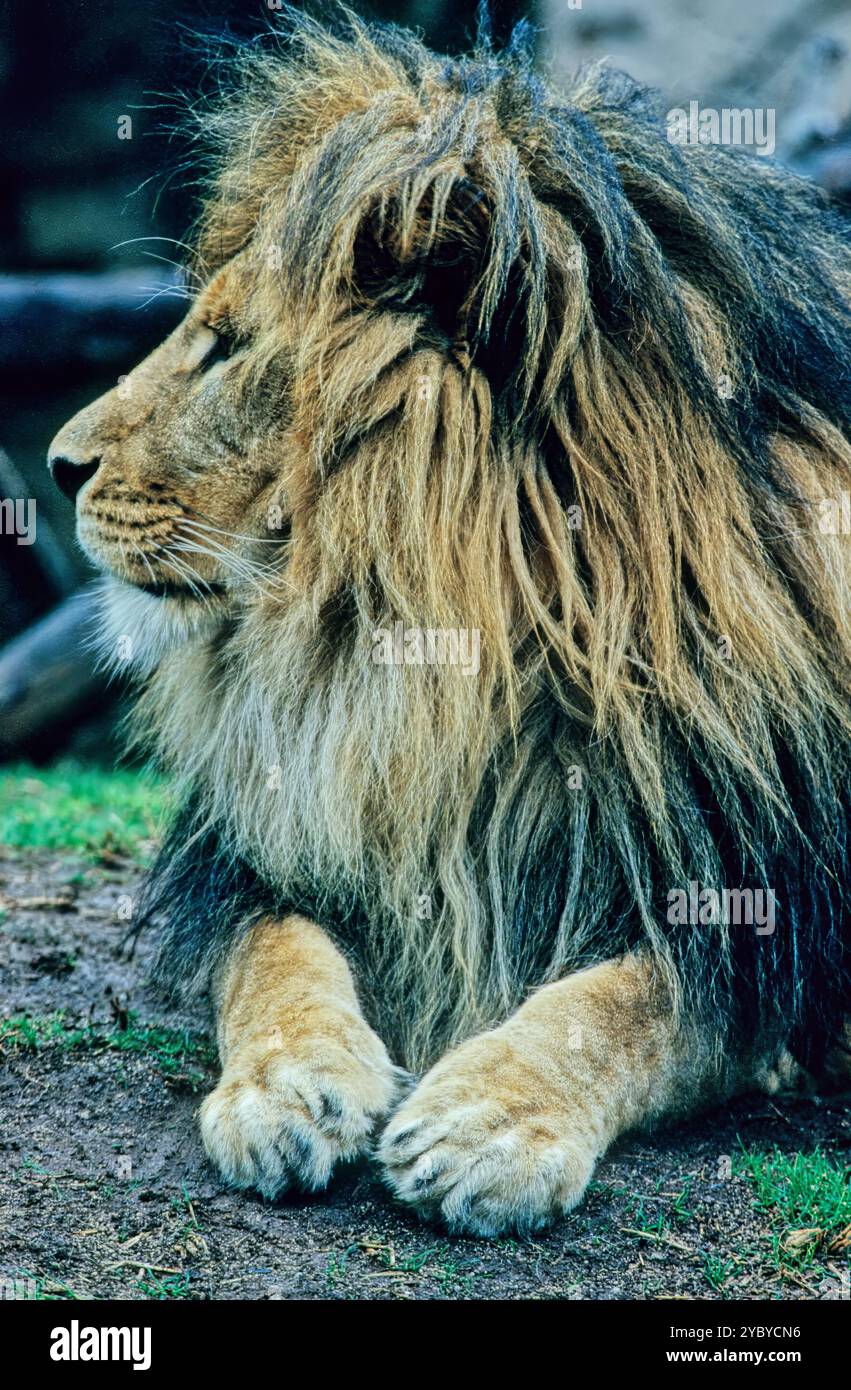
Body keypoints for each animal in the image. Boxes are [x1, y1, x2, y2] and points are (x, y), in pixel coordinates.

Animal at [48, 11, 851, 1236]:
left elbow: (633, 1000)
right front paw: (287, 1087)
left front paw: (487, 1121)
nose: (55, 465)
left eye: (228, 346)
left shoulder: (775, 923)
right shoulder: (272, 848)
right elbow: (273, 951)